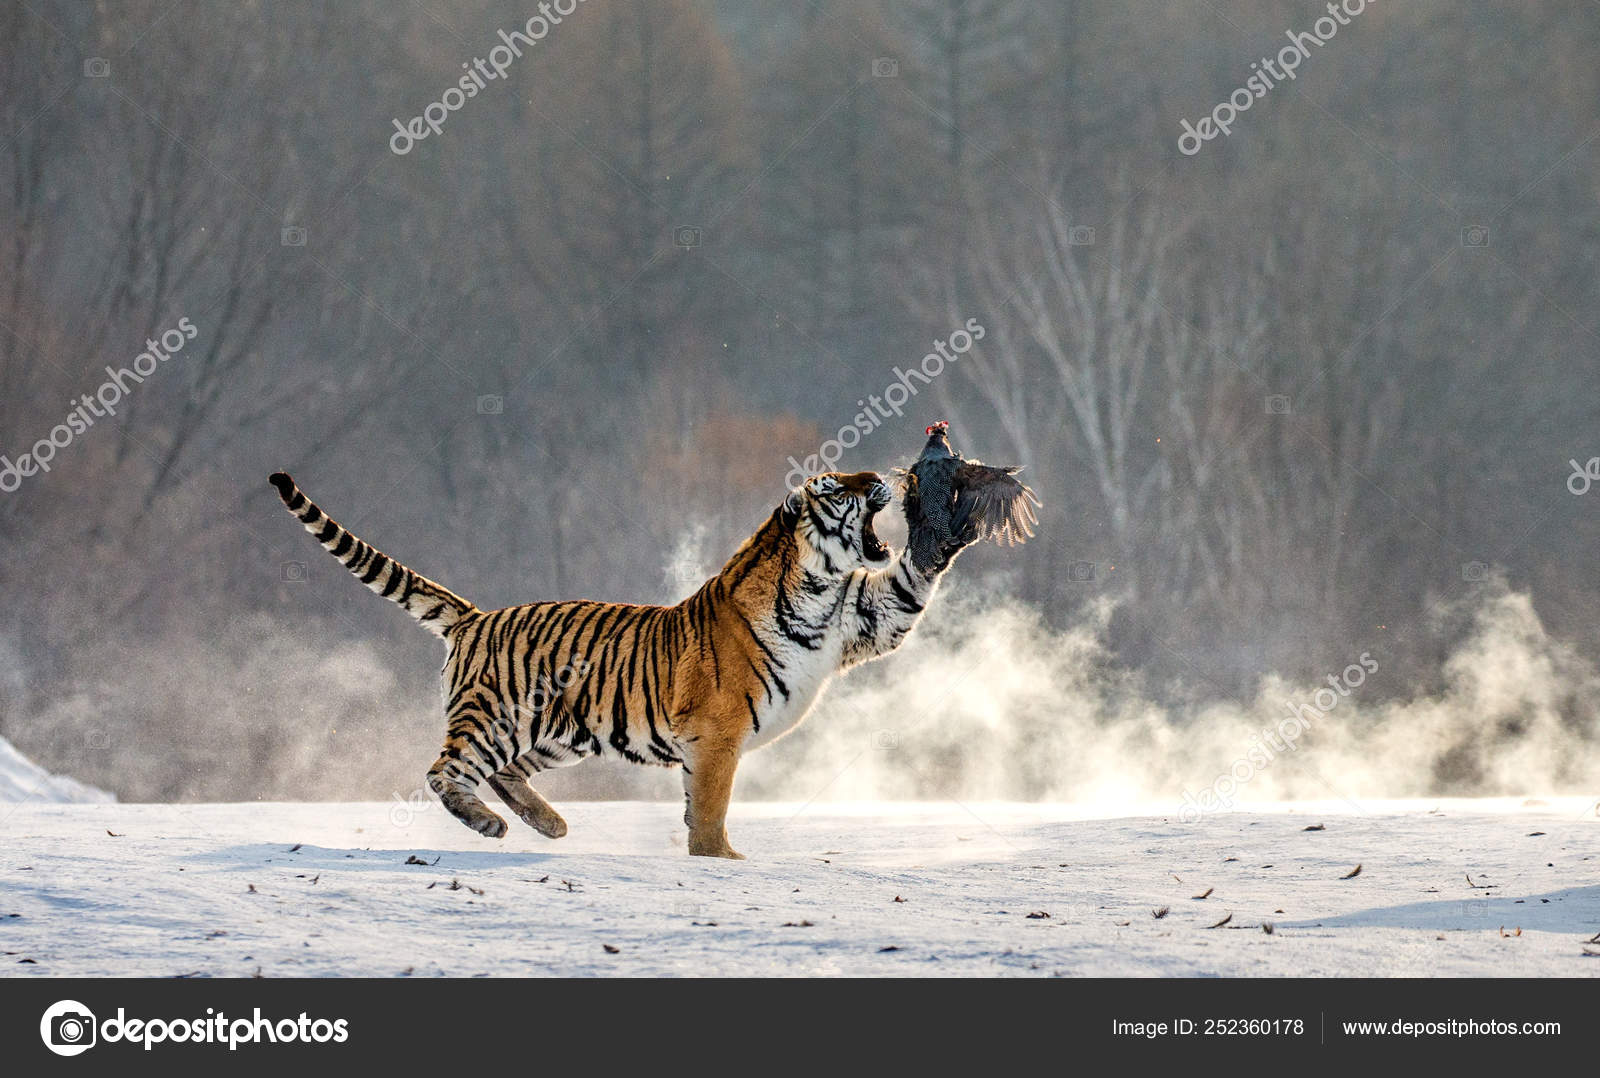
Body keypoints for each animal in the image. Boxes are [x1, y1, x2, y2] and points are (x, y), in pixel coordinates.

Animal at [267, 468, 975, 857]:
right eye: (836, 487)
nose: (882, 478)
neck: (822, 589)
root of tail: (475, 617)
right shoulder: (718, 735)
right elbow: (711, 807)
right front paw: (722, 861)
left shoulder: (868, 619)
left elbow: (905, 586)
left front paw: (946, 527)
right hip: (497, 720)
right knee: (443, 771)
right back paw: (489, 826)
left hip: (560, 733)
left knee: (506, 774)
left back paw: (550, 825)